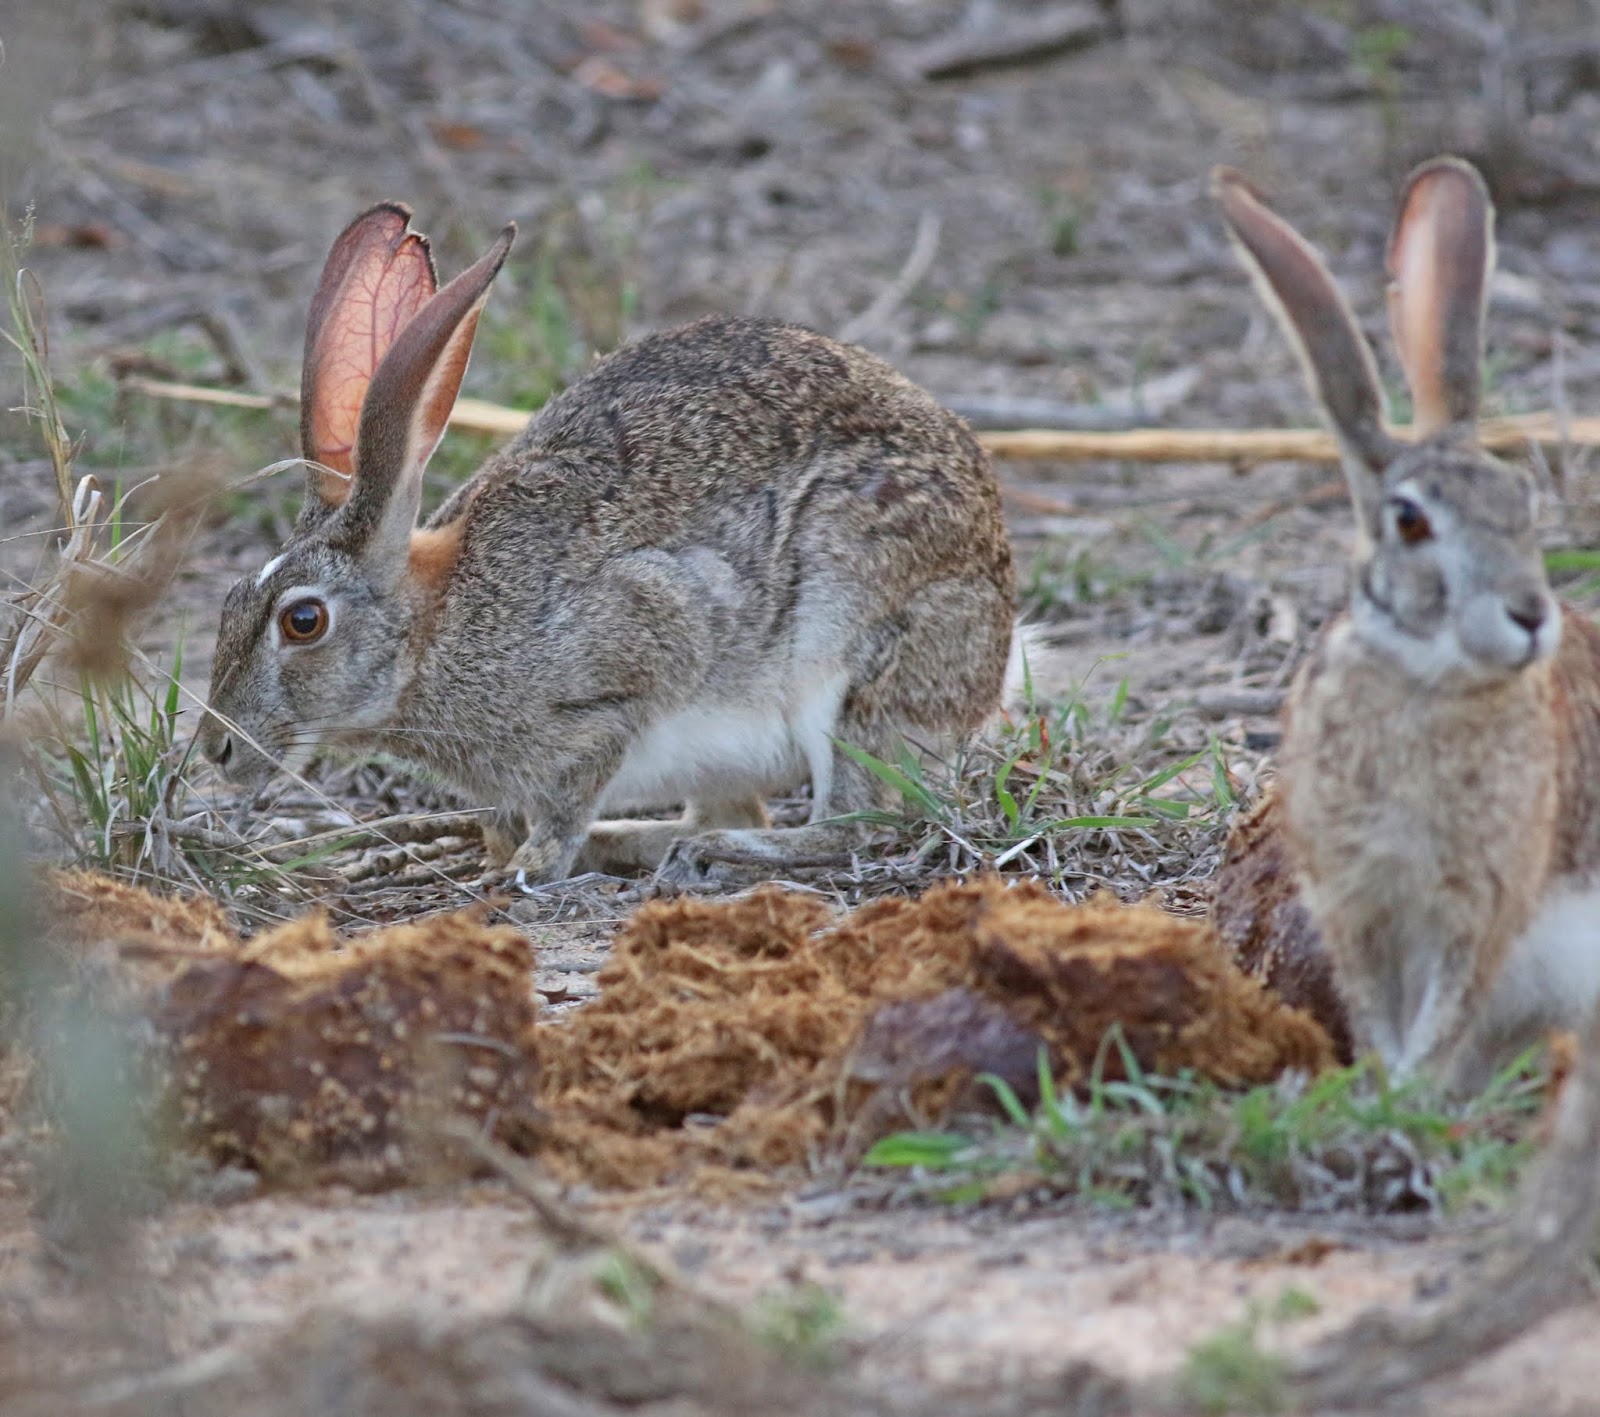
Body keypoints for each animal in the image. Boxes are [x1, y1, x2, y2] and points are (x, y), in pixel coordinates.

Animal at [199, 202, 1016, 886]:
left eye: (304, 621)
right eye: (230, 603)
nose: (217, 751)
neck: (430, 631)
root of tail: (1000, 634)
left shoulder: (629, 667)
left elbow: (576, 785)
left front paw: (526, 867)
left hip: (854, 663)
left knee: (857, 821)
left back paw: (717, 852)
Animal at [1213, 157, 1600, 1092]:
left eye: (1524, 504)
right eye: (1412, 522)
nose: (1529, 616)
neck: (1425, 682)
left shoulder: (1483, 905)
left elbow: (1449, 1009)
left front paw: (1411, 1093)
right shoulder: (1357, 901)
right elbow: (1379, 1006)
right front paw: (1385, 1089)